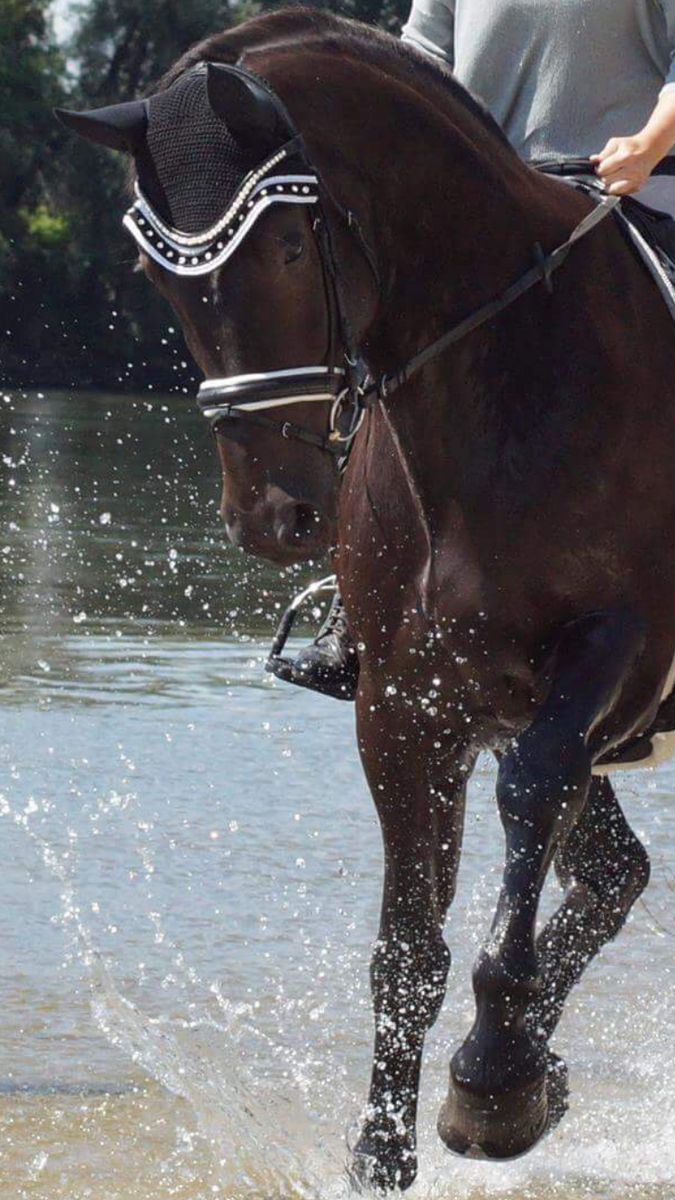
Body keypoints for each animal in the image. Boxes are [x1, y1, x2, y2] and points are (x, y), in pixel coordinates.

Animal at [56, 7, 675, 1190]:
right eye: (156, 278)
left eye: (291, 249)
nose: (277, 514)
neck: (505, 376)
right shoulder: (407, 702)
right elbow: (405, 955)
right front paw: (389, 1148)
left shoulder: (621, 651)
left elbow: (533, 788)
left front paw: (492, 1082)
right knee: (616, 873)